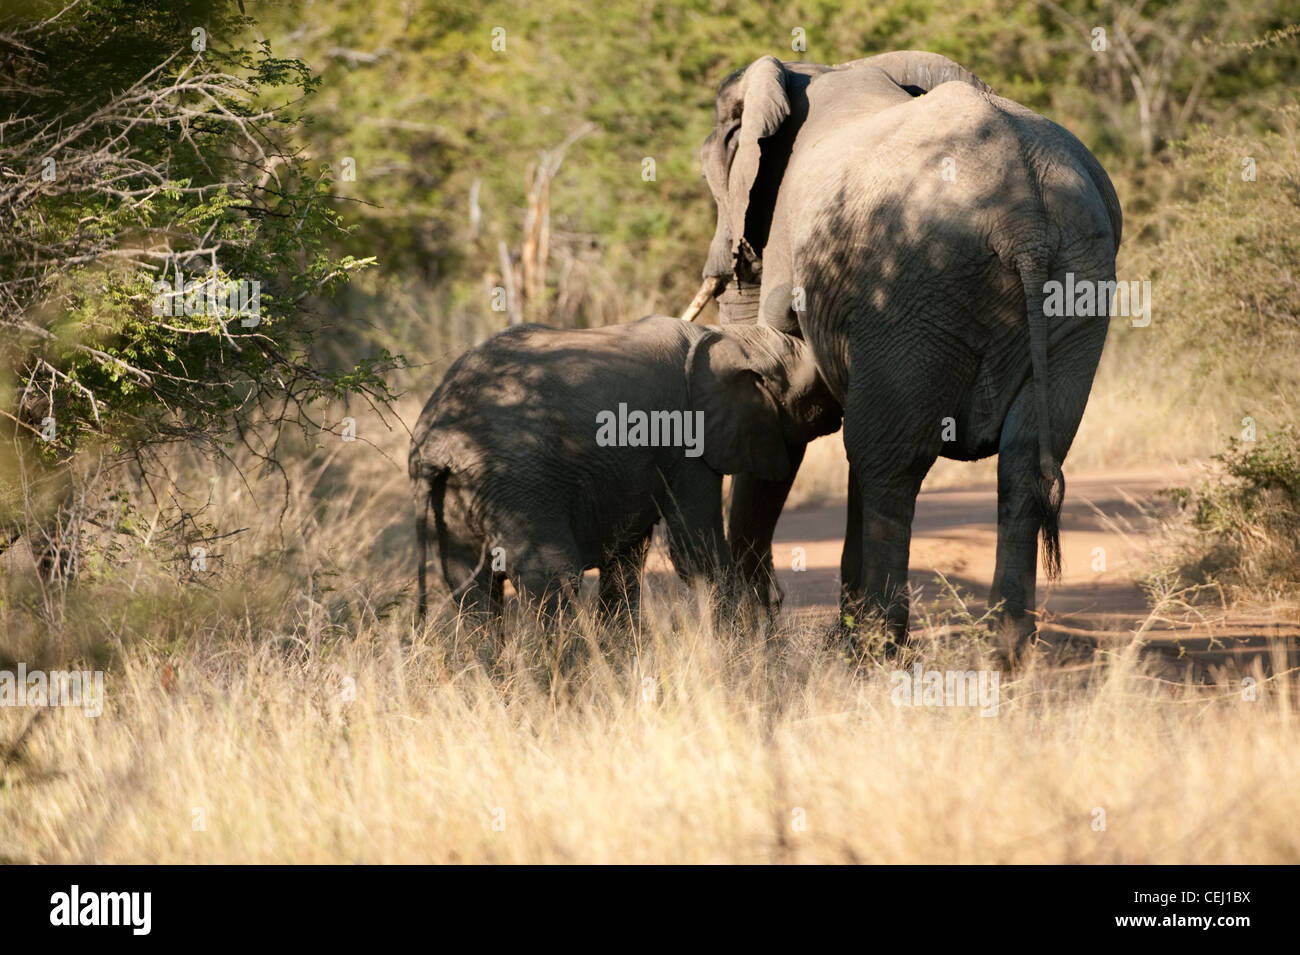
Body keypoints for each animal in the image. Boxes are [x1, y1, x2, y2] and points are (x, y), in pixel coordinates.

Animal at [409, 315, 841, 621]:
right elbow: (695, 551)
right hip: (518, 482)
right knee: (550, 578)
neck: (731, 337)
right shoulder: (685, 438)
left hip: (457, 496)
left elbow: (626, 556)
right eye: (816, 393)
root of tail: (436, 445)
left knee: (471, 589)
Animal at [680, 50, 1123, 654]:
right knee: (1020, 459)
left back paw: (876, 648)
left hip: (913, 284)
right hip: (1076, 286)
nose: (769, 613)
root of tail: (1025, 221)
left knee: (889, 462)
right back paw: (1006, 652)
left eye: (710, 175)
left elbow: (792, 425)